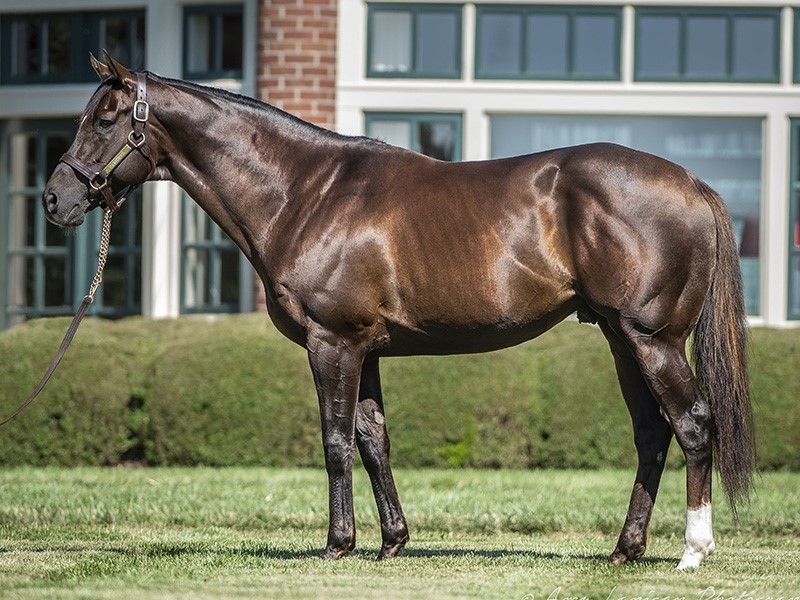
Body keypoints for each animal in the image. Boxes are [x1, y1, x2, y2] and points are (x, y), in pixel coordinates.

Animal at [42, 53, 754, 569]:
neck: (305, 193)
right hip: (619, 337)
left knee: (693, 425)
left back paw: (692, 552)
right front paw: (391, 542)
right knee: (652, 433)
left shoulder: (332, 342)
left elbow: (335, 441)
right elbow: (373, 439)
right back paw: (625, 551)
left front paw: (338, 545)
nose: (54, 199)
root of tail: (693, 184)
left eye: (105, 119)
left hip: (652, 338)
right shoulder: (365, 348)